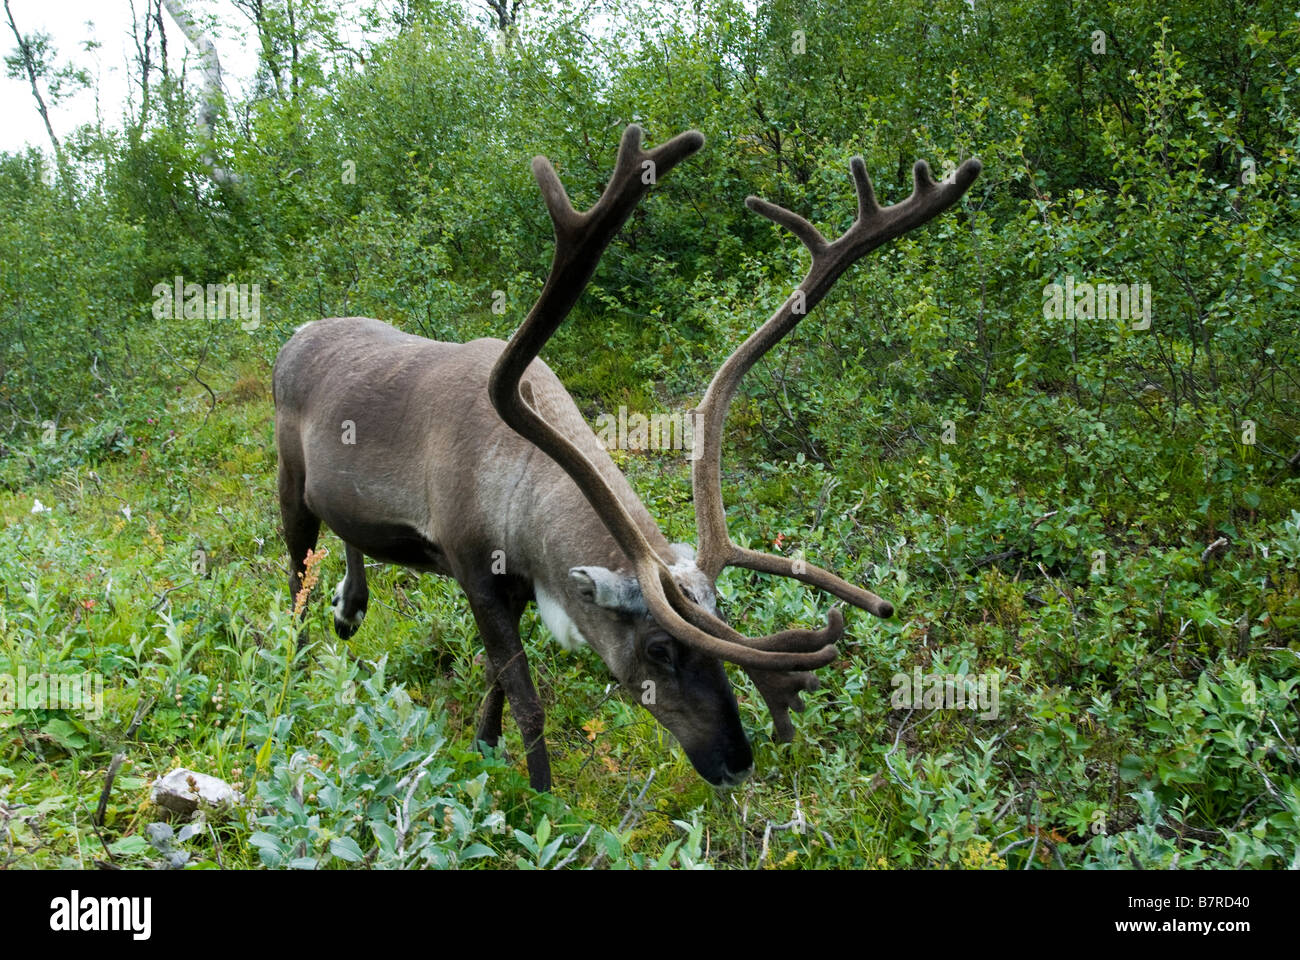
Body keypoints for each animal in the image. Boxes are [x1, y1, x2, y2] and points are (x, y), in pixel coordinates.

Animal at [273, 123, 980, 792]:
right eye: (660, 648)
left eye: (722, 618)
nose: (737, 762)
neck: (515, 494)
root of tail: (295, 334)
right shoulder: (473, 566)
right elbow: (528, 701)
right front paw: (540, 799)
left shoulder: (513, 585)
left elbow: (498, 680)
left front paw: (484, 743)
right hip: (288, 476)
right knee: (296, 573)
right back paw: (297, 665)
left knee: (347, 530)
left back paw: (349, 608)